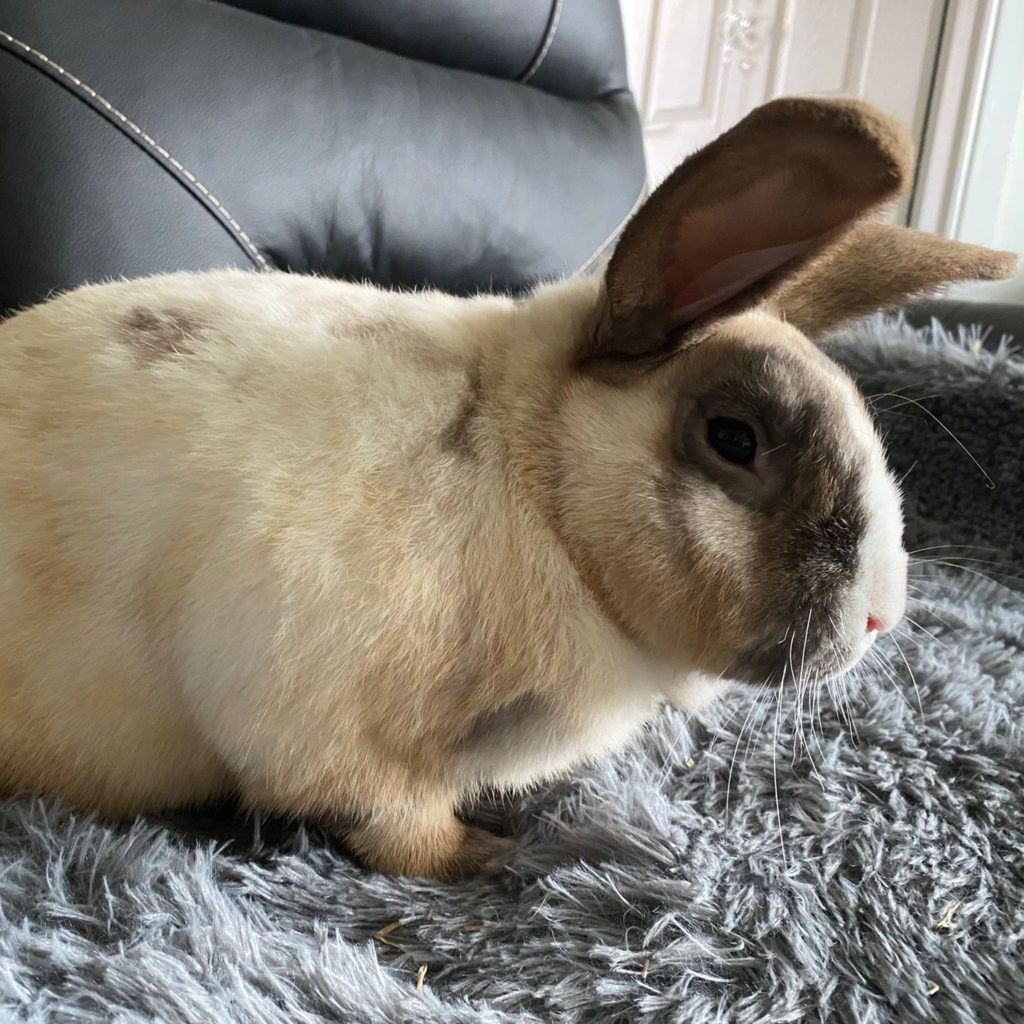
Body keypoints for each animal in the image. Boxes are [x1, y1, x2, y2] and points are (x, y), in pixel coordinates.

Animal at [0, 97, 1016, 880]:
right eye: (735, 439)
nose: (884, 617)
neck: (536, 483)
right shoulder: (324, 731)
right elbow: (391, 824)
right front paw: (489, 860)